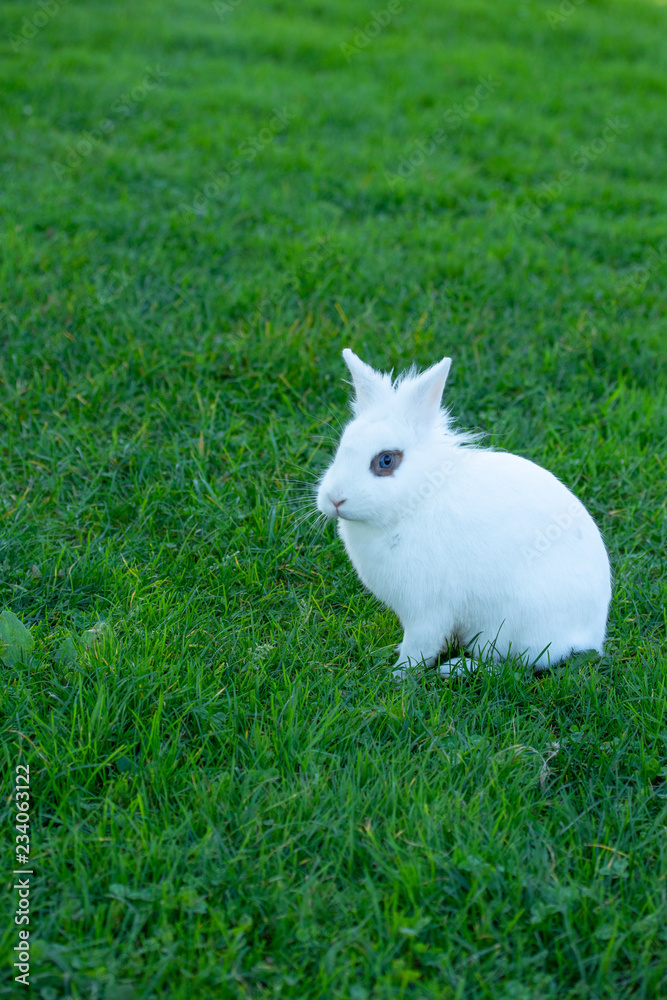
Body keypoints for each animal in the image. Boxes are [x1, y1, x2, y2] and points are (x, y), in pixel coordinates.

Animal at [316, 349, 612, 678]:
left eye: (386, 460)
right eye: (342, 447)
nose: (334, 499)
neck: (418, 498)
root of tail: (591, 635)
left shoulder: (427, 611)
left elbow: (420, 647)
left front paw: (398, 676)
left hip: (509, 630)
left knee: (509, 666)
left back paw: (455, 668)